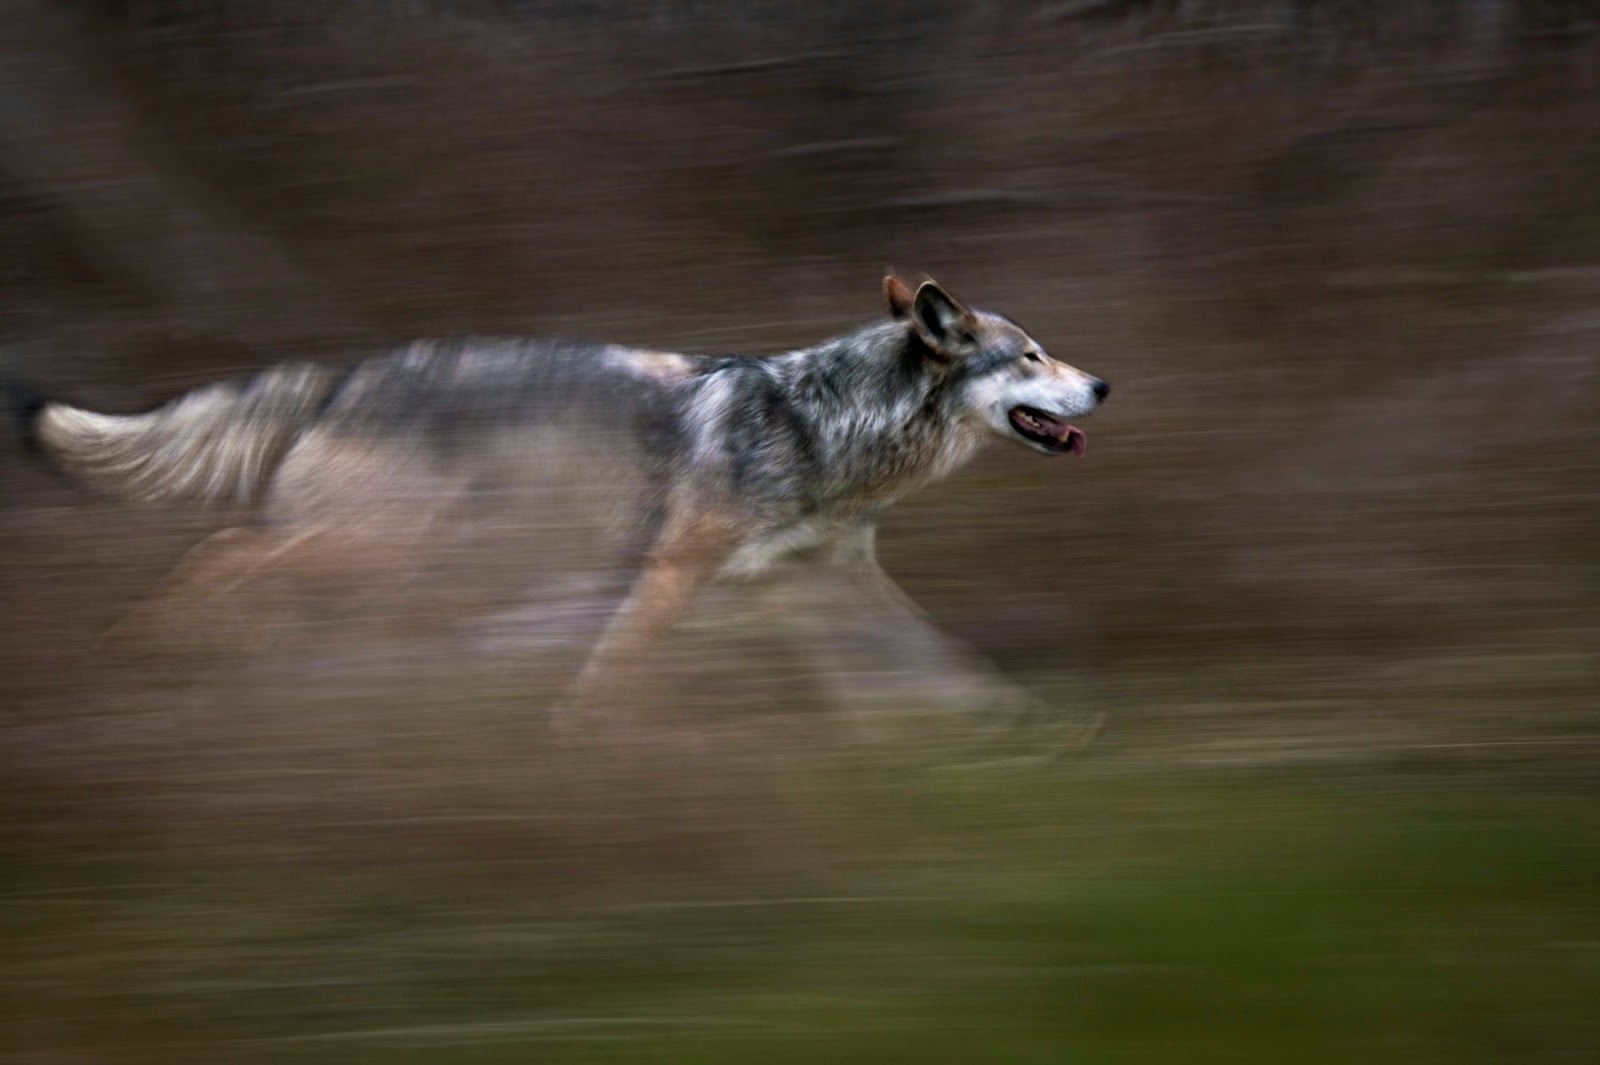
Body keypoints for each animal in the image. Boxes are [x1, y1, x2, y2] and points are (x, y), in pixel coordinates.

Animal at [13, 273, 1109, 734]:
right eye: (1032, 356)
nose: (1102, 386)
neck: (828, 423)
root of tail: (342, 375)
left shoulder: (813, 585)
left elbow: (938, 669)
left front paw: (1023, 736)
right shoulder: (672, 573)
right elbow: (609, 679)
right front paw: (578, 754)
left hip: (415, 562)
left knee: (259, 580)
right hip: (378, 548)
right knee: (222, 552)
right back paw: (141, 652)